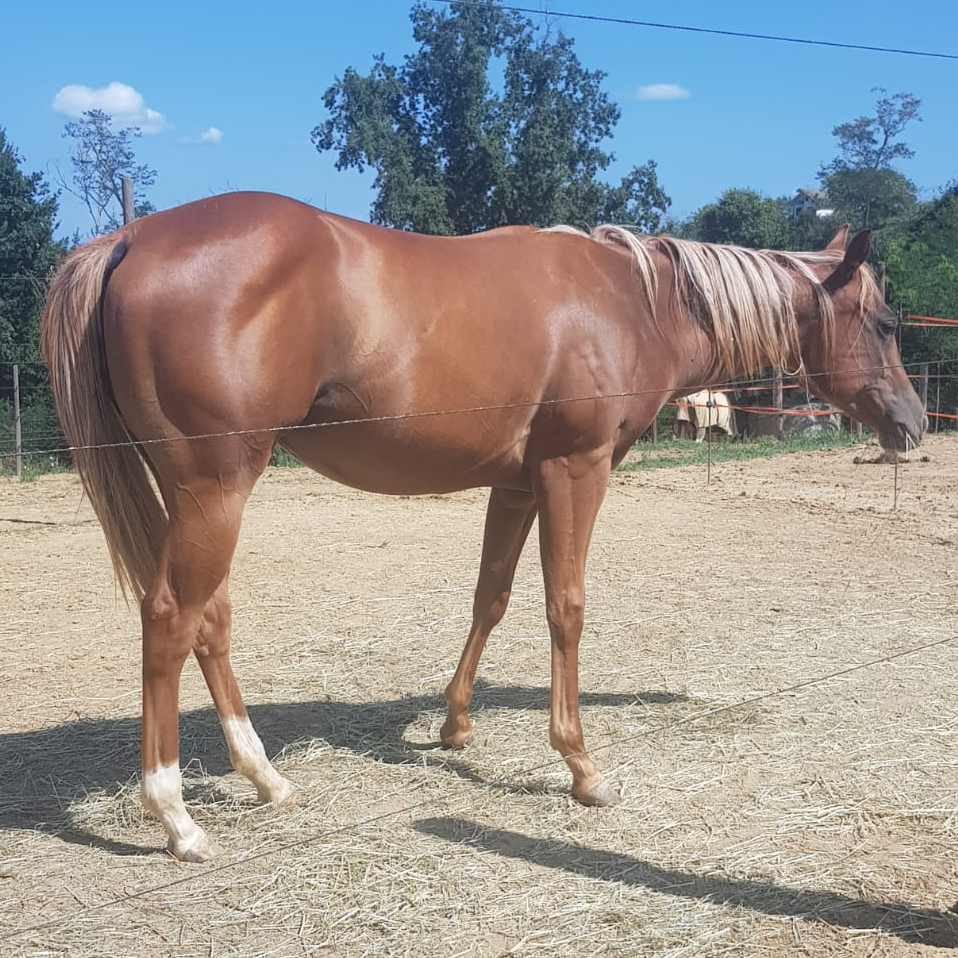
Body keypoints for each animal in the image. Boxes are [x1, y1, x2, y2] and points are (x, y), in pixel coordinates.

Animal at [41, 192, 925, 861]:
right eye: (885, 325)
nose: (914, 426)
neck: (632, 301)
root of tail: (129, 238)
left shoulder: (519, 483)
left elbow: (490, 597)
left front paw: (456, 725)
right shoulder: (575, 471)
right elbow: (565, 607)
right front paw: (581, 765)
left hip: (196, 495)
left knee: (209, 620)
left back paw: (265, 778)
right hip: (215, 489)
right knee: (170, 619)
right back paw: (177, 817)